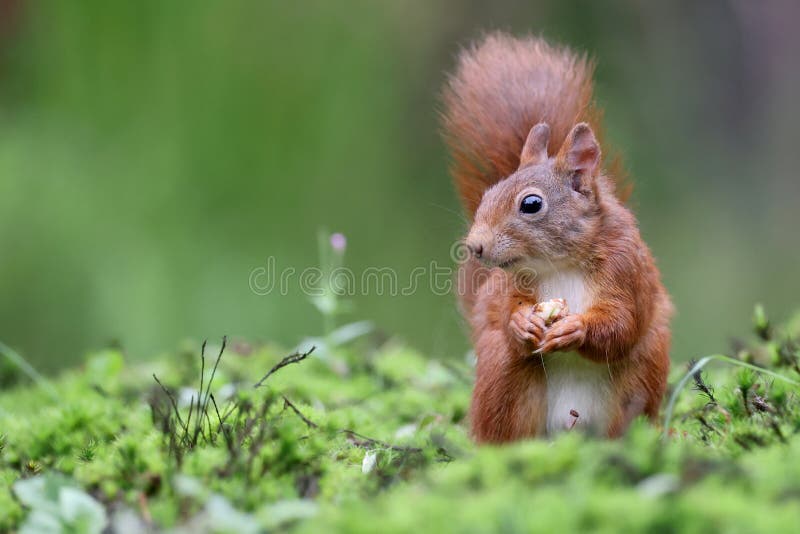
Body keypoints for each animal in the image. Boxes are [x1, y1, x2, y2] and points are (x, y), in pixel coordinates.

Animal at [441, 33, 672, 442]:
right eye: (487, 194)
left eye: (531, 204)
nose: (476, 246)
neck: (559, 264)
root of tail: (569, 428)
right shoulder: (509, 284)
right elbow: (503, 310)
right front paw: (521, 321)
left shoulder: (626, 269)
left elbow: (624, 322)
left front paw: (576, 328)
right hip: (502, 375)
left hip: (641, 375)